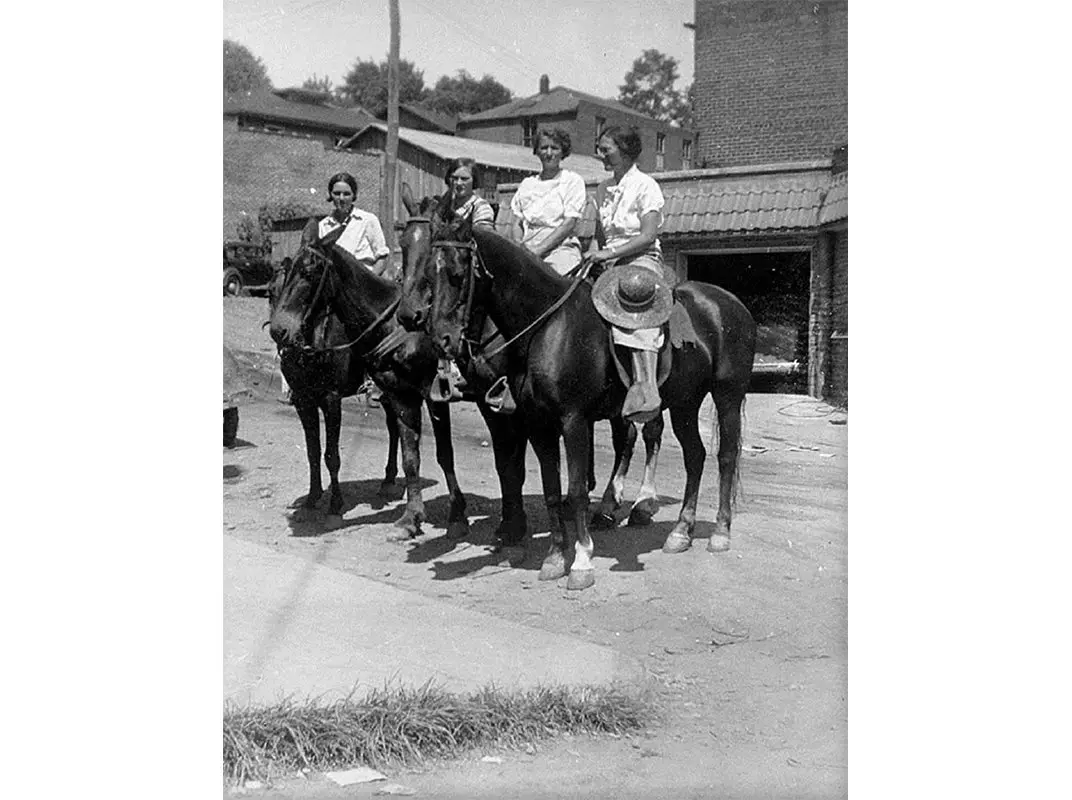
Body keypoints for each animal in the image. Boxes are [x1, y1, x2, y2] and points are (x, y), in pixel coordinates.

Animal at [268, 258, 403, 527]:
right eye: (271, 293)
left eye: (305, 289)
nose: (281, 334)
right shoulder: (304, 401)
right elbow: (312, 451)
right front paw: (311, 499)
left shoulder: (332, 400)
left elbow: (332, 456)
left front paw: (334, 507)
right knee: (393, 428)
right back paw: (388, 480)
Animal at [415, 217, 754, 587]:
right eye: (428, 274)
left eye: (458, 273)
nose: (441, 339)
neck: (548, 327)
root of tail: (729, 303)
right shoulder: (538, 423)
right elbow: (551, 488)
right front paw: (553, 558)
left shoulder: (573, 420)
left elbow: (576, 489)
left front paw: (580, 563)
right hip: (685, 403)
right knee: (695, 456)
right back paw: (680, 531)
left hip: (727, 395)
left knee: (725, 456)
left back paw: (719, 532)